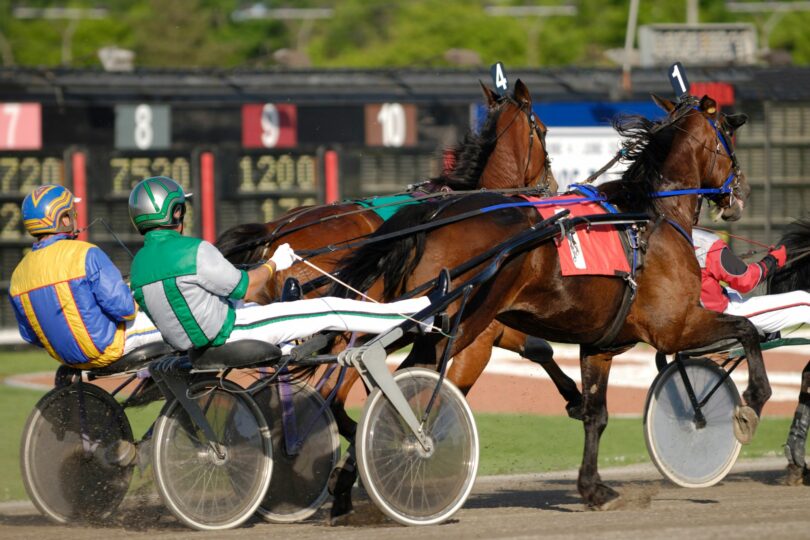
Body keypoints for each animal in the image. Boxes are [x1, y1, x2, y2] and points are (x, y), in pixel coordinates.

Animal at [332, 92, 770, 509]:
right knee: (405, 383)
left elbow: (596, 415)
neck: (650, 215)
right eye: (728, 134)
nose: (743, 191)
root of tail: (434, 211)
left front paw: (593, 488)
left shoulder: (600, 346)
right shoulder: (673, 326)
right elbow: (747, 329)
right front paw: (751, 403)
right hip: (456, 325)